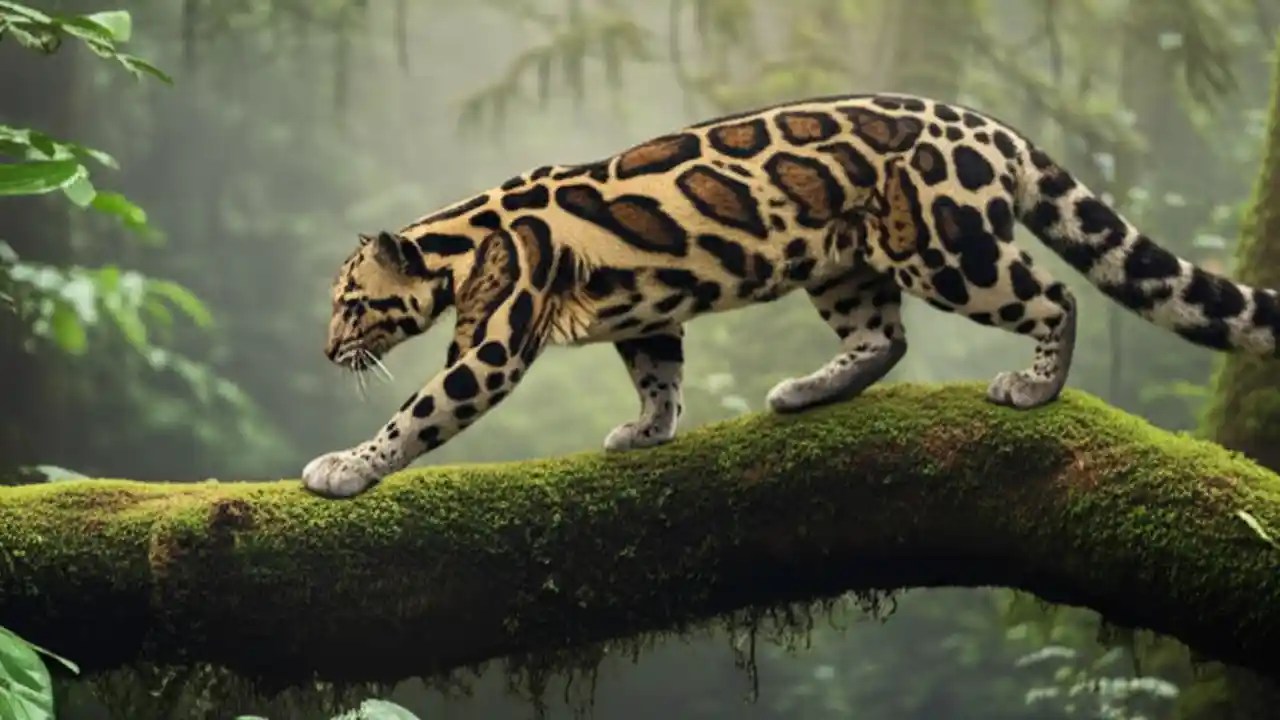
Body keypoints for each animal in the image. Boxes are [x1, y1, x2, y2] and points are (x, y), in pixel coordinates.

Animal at [303, 92, 1280, 498]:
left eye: (350, 303)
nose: (326, 350)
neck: (456, 243)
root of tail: (993, 127)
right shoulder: (647, 316)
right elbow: (660, 374)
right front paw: (648, 431)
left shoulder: (494, 344)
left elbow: (419, 412)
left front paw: (348, 466)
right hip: (846, 264)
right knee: (884, 338)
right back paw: (811, 389)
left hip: (948, 249)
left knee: (1054, 299)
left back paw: (1035, 385)